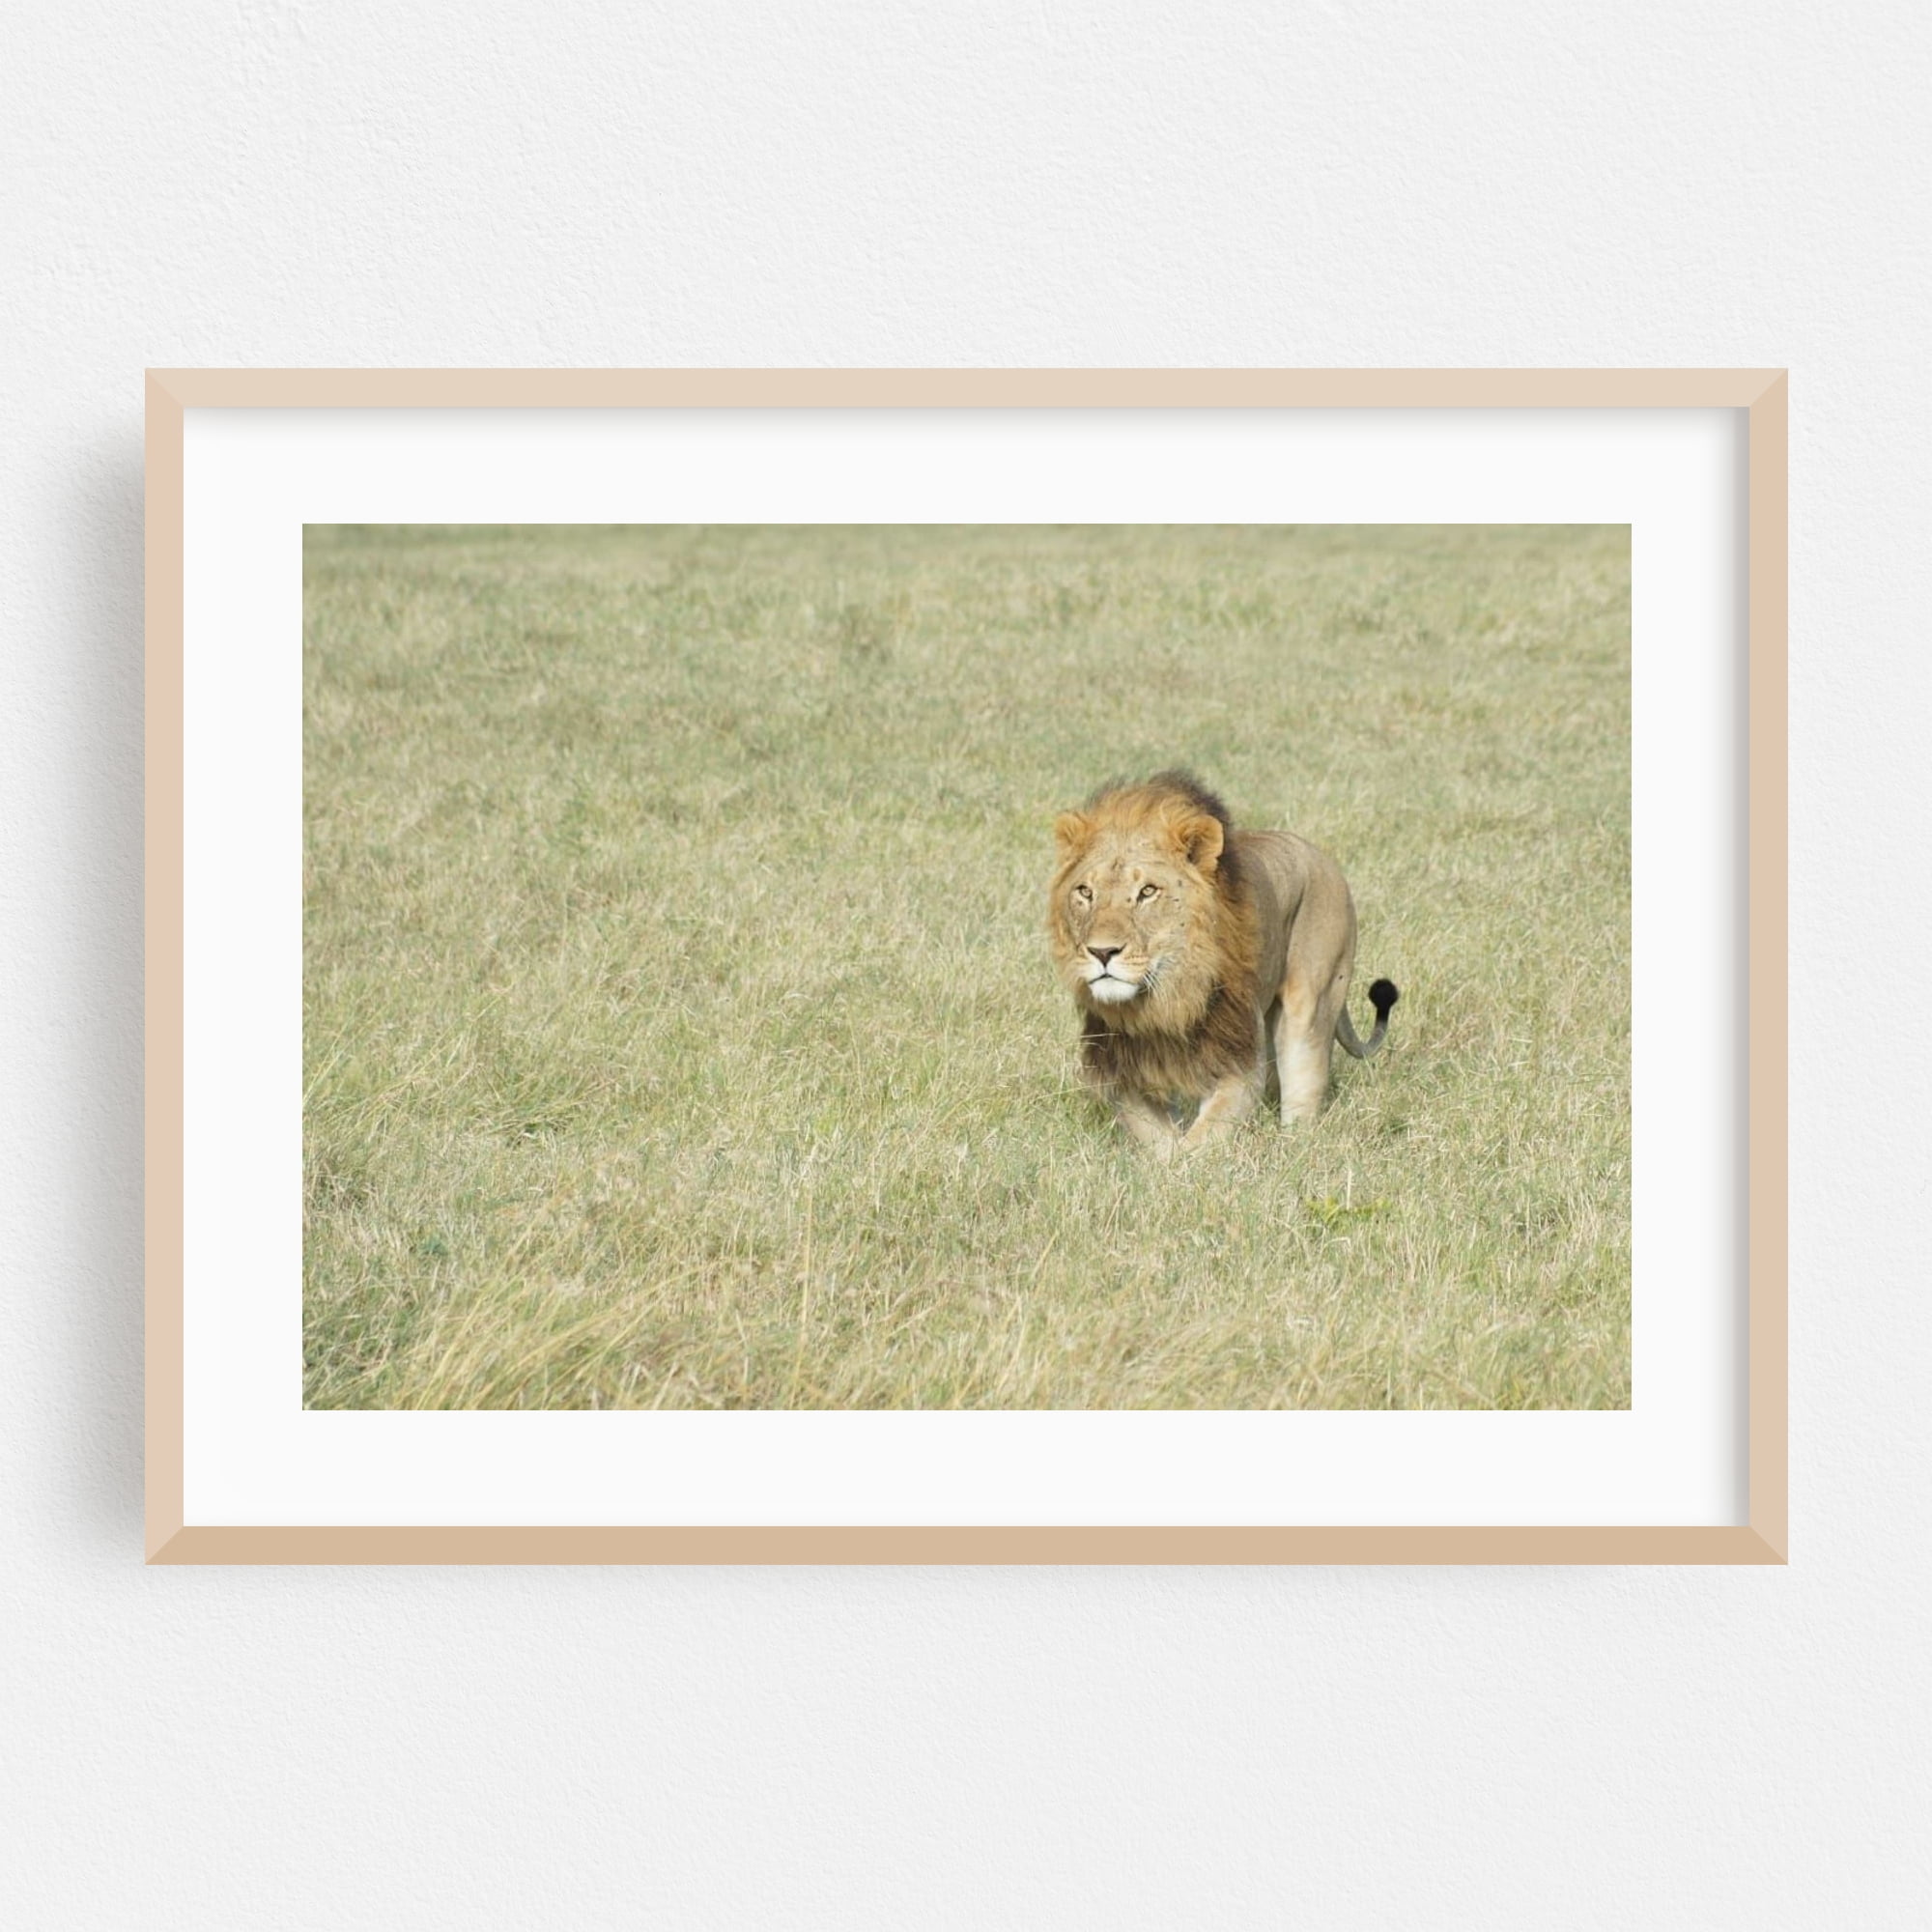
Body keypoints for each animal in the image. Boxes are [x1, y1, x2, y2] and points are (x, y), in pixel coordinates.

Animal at [1047, 770, 1397, 1156]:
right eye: (1085, 892)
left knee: (1303, 1083)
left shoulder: (1236, 1059)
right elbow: (1160, 1140)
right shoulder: (1125, 1070)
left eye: (1148, 892)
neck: (1165, 1000)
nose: (1102, 952)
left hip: (1312, 1001)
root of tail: (1321, 856)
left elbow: (1204, 1138)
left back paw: (1293, 1148)